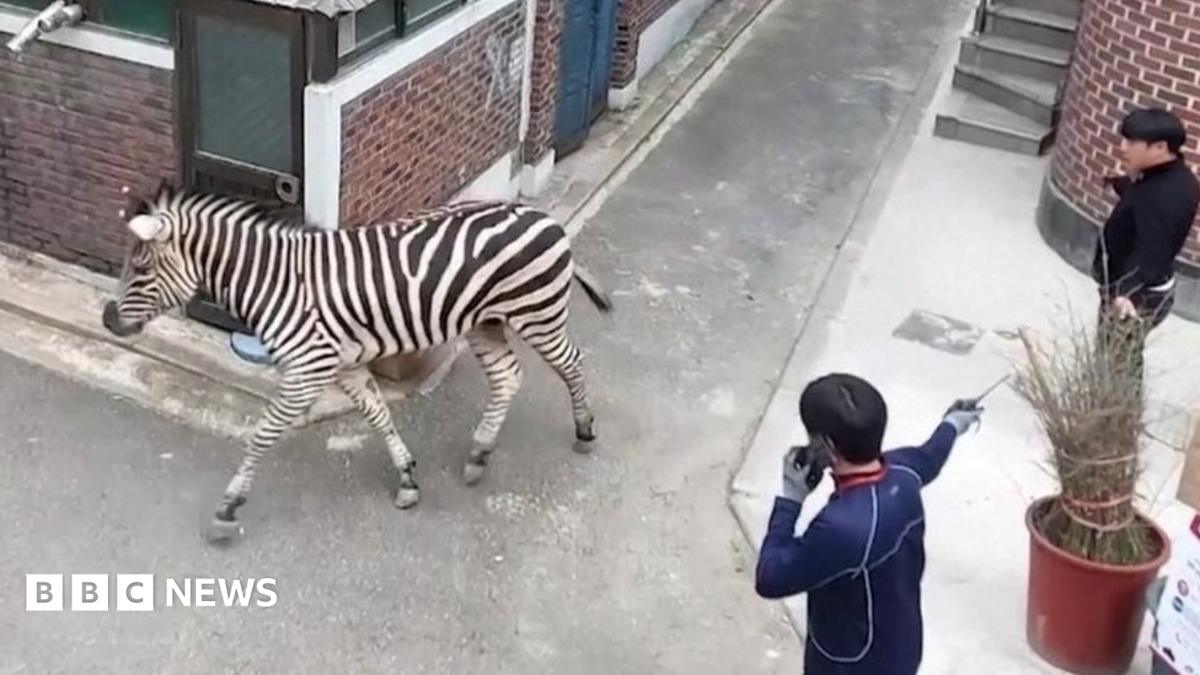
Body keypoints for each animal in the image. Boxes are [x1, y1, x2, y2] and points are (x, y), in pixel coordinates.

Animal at [101, 180, 612, 542]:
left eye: (141, 267)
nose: (107, 318)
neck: (275, 282)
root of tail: (540, 214)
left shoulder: (306, 371)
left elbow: (262, 434)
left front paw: (229, 507)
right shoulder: (343, 365)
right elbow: (378, 415)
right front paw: (407, 479)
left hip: (537, 314)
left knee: (572, 362)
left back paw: (585, 430)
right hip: (485, 323)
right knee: (508, 377)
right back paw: (479, 454)